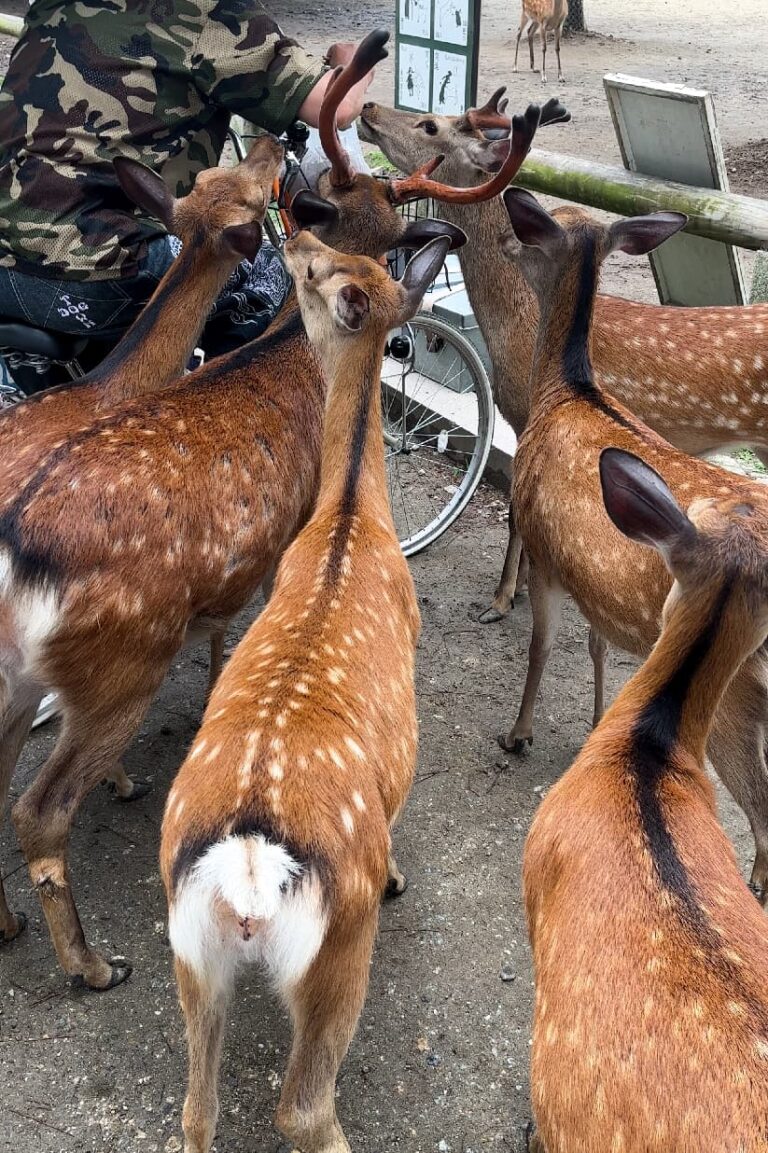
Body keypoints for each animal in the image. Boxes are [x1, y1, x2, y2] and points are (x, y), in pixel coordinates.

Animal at [0, 30, 528, 988]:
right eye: (394, 215)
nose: (284, 147)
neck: (289, 345)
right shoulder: (296, 527)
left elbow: (223, 632)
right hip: (123, 659)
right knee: (39, 808)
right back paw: (92, 963)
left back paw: (17, 922)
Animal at [160, 230, 452, 1153]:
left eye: (327, 269)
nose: (294, 234)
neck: (351, 515)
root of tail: (251, 863)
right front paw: (401, 873)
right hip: (338, 950)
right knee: (302, 1104)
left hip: (192, 950)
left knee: (197, 1108)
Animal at [496, 186, 768, 901]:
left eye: (531, 232)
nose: (501, 244)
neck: (564, 391)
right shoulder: (587, 571)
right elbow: (594, 644)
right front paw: (594, 719)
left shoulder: (543, 550)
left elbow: (539, 647)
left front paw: (517, 734)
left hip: (738, 697)